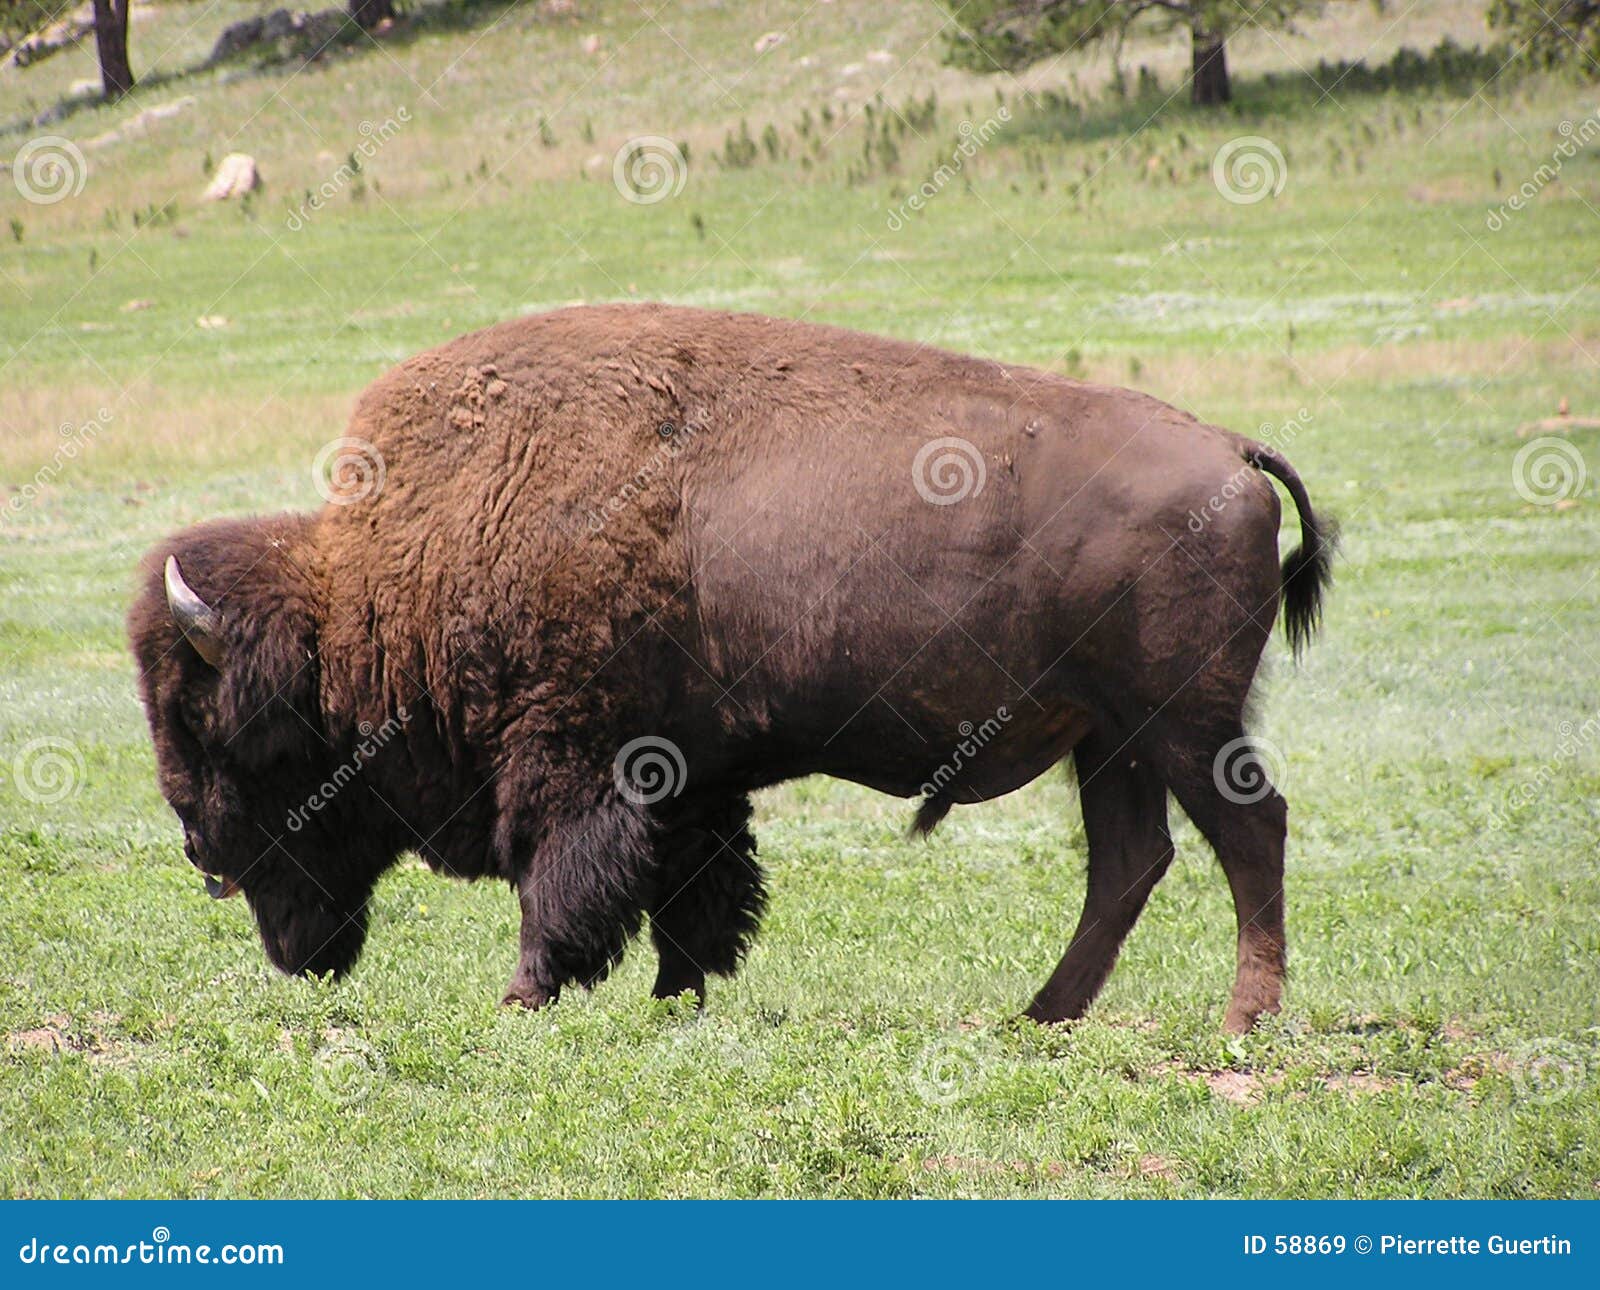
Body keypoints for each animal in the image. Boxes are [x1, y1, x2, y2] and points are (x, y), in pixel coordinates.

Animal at [129, 304, 1334, 1031]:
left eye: (222, 729)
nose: (201, 851)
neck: (388, 576)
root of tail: (1229, 450)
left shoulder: (575, 760)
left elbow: (561, 884)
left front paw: (524, 998)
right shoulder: (688, 780)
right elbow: (693, 892)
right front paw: (677, 997)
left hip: (1183, 725)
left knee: (1248, 832)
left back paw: (1244, 1014)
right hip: (1109, 740)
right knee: (1130, 862)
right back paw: (1043, 1014)